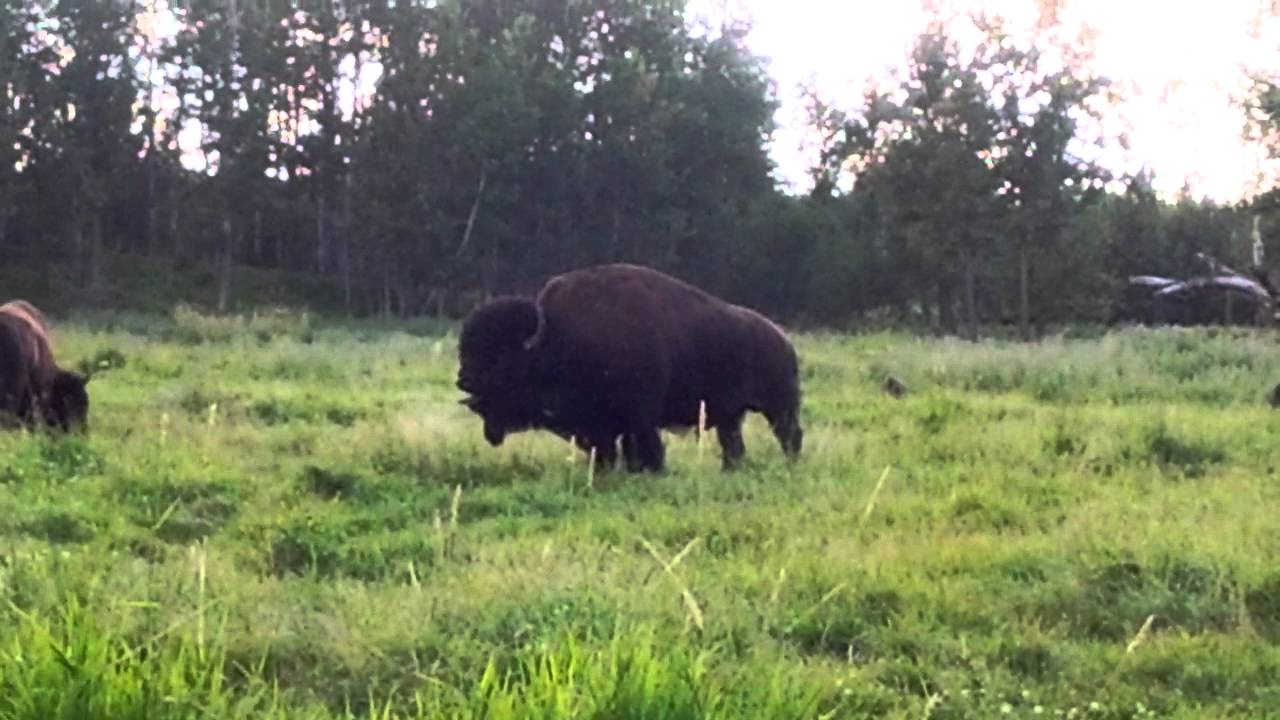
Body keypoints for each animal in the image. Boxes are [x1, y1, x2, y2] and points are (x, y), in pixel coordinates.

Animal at [456, 263, 803, 472]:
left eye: (501, 361)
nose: (464, 383)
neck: (561, 338)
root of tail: (783, 340)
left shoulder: (639, 419)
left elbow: (647, 450)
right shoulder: (600, 428)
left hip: (779, 408)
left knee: (790, 436)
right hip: (731, 417)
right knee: (734, 445)